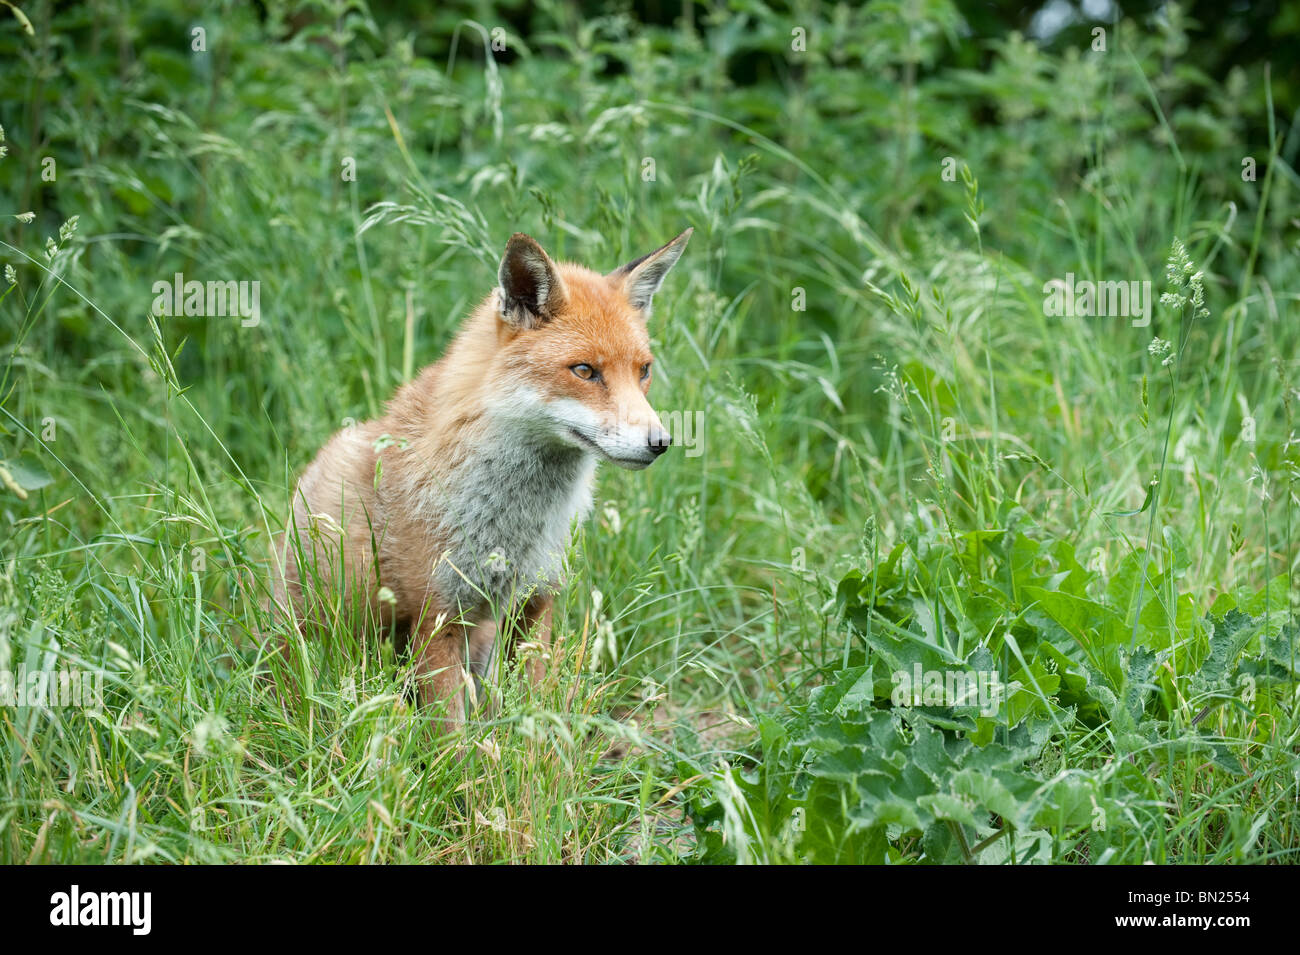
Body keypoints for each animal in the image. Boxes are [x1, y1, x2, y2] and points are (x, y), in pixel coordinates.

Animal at [270, 227, 692, 729]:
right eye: (585, 371)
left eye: (643, 371)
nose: (660, 442)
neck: (515, 522)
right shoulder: (437, 616)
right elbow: (451, 732)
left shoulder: (534, 603)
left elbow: (534, 712)